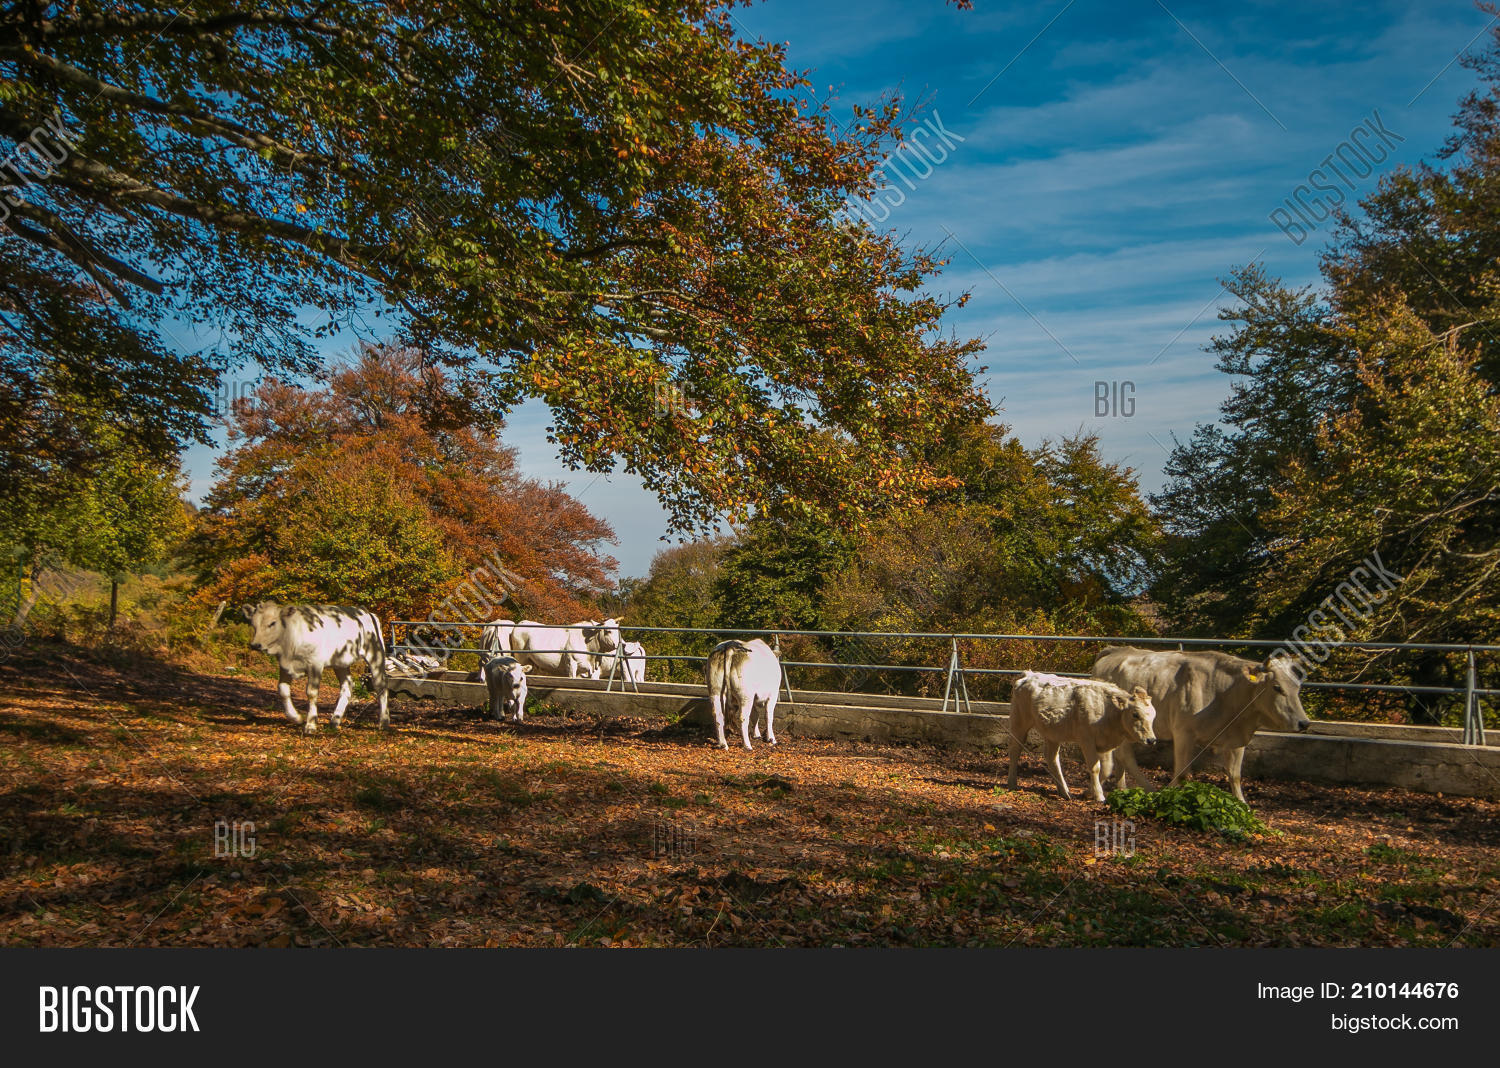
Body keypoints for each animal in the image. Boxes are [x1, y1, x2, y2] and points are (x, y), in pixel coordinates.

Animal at [244, 603, 389, 734]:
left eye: (272, 623)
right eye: (253, 624)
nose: (255, 645)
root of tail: (365, 611)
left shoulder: (315, 664)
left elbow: (311, 692)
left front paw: (311, 725)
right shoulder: (284, 666)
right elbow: (283, 690)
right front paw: (296, 717)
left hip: (375, 653)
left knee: (380, 685)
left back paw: (384, 722)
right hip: (340, 662)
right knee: (347, 685)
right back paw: (335, 721)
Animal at [1006, 671, 1157, 802]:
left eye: (1154, 716)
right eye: (1135, 714)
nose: (1151, 740)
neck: (1107, 710)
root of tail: (1029, 674)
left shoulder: (1105, 744)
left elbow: (1106, 769)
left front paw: (1089, 792)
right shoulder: (1086, 740)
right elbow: (1095, 767)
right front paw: (1099, 796)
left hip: (1053, 734)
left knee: (1052, 758)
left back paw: (1064, 791)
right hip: (1019, 722)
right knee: (1015, 750)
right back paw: (1012, 783)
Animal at [1091, 646, 1311, 802]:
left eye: (1298, 687)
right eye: (1277, 687)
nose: (1304, 723)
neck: (1224, 692)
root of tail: (1116, 650)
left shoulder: (1237, 737)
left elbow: (1235, 774)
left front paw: (1242, 804)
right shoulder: (1184, 733)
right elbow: (1181, 772)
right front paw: (1169, 796)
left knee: (1122, 756)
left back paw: (1122, 788)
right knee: (1125, 756)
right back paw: (1147, 788)